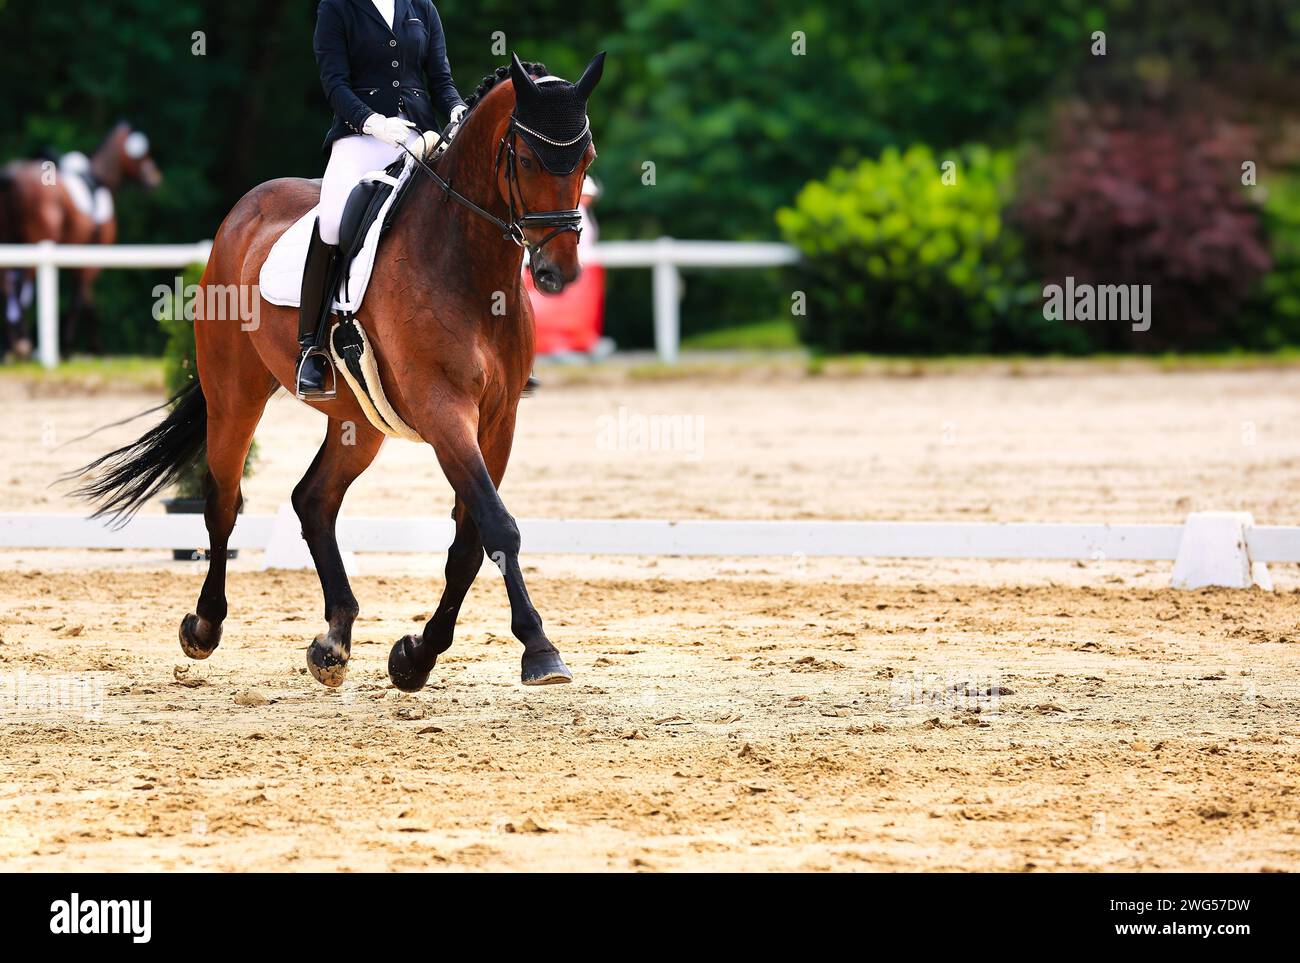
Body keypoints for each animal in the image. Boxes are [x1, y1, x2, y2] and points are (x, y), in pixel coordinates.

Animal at [0, 121, 162, 356]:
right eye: (142, 154)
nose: (154, 180)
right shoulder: (90, 256)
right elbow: (84, 302)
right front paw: (85, 347)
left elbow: (84, 298)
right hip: (35, 242)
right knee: (21, 285)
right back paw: (21, 342)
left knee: (7, 284)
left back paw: (12, 345)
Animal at [70, 54, 604, 691]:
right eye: (525, 159)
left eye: (586, 159)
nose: (557, 273)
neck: (467, 263)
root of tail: (243, 209)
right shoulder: (443, 409)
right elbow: (498, 527)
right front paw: (539, 649)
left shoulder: (498, 421)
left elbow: (471, 540)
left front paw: (415, 657)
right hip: (235, 393)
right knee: (222, 498)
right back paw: (205, 625)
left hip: (359, 422)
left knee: (313, 500)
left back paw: (334, 638)